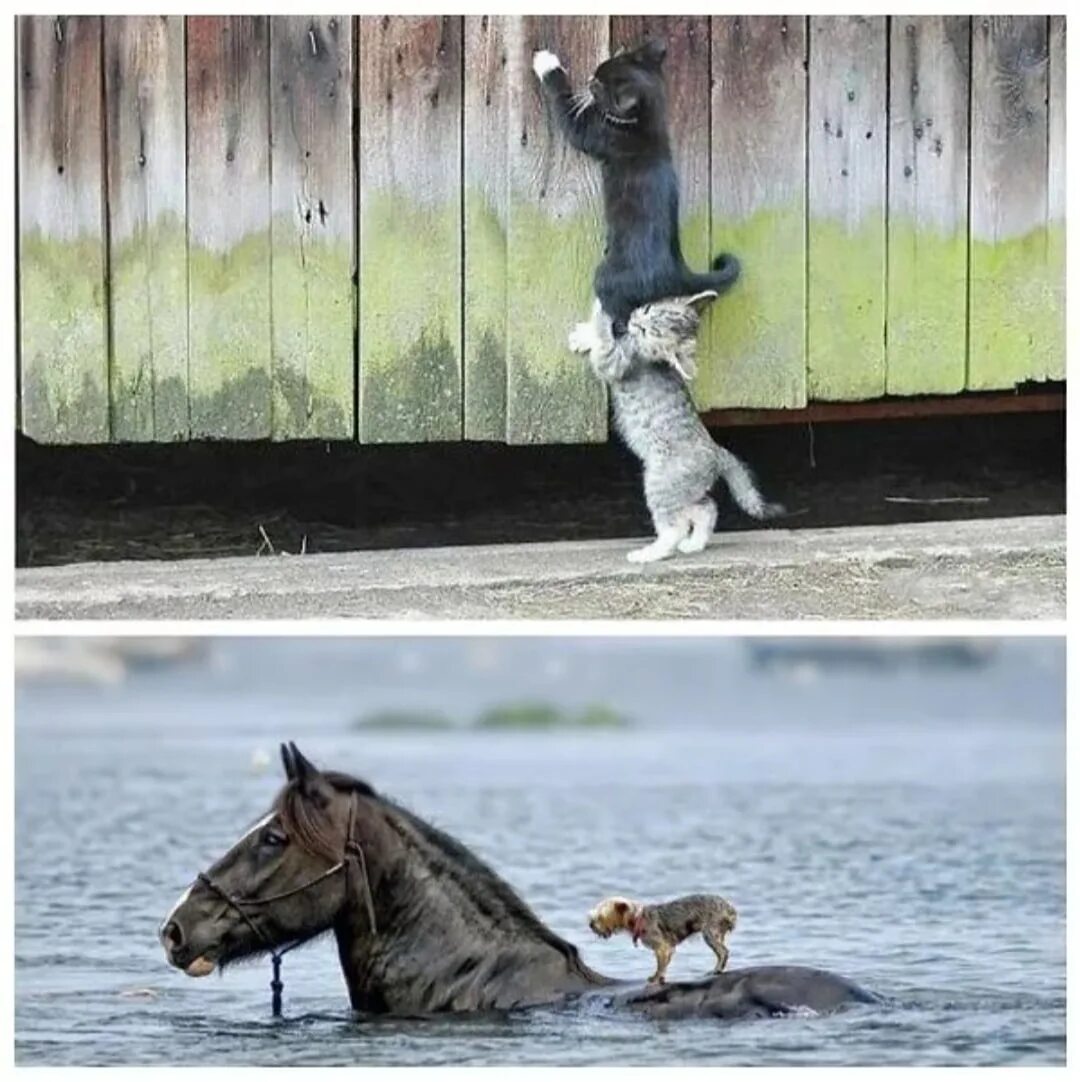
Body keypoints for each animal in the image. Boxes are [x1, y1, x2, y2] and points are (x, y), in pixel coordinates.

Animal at [534, 39, 740, 333]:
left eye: (599, 85)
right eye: (599, 70)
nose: (589, 80)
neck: (646, 125)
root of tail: (677, 272)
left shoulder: (594, 132)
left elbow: (568, 112)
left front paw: (547, 63)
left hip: (609, 277)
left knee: (620, 317)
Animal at [571, 294, 792, 566]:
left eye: (646, 332)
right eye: (646, 309)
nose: (632, 321)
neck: (645, 353)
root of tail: (716, 453)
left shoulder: (615, 361)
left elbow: (604, 337)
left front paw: (596, 317)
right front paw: (587, 333)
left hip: (660, 485)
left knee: (675, 528)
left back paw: (648, 554)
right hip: (682, 493)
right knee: (706, 508)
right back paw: (694, 544)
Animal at [593, 891, 735, 986]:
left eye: (600, 917)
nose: (591, 924)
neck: (637, 918)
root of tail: (730, 909)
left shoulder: (661, 946)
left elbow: (660, 965)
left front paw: (656, 979)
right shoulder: (668, 948)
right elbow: (665, 963)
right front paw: (660, 978)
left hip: (710, 931)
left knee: (723, 952)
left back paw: (716, 970)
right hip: (718, 932)